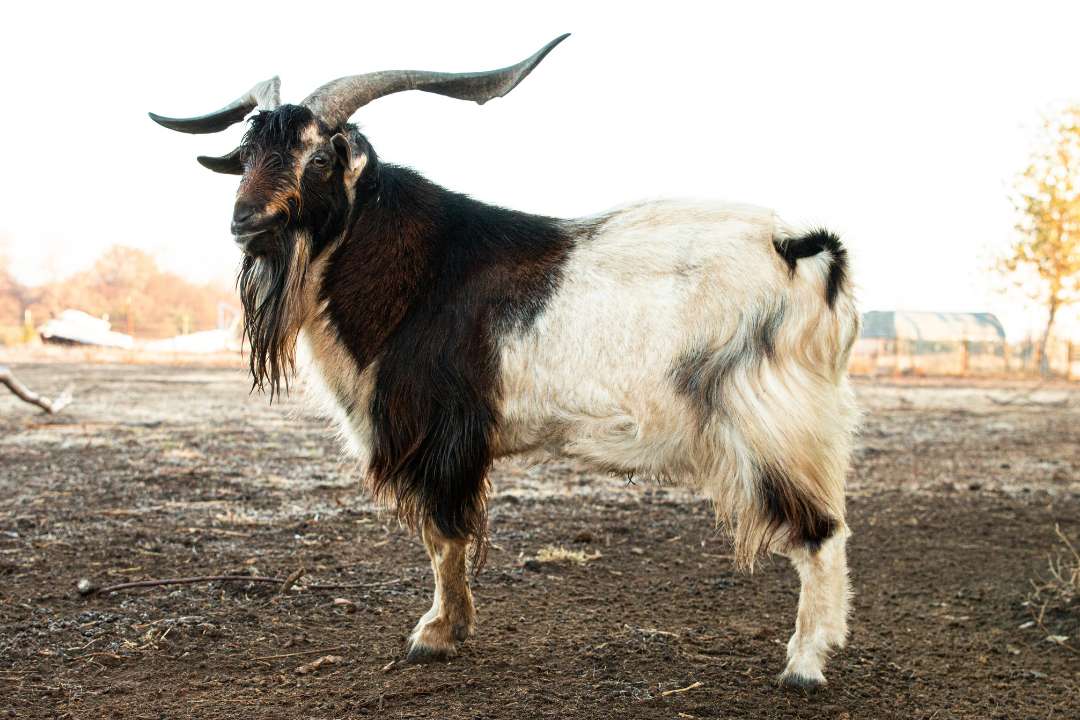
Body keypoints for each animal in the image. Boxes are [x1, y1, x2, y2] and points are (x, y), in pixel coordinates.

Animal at [150, 35, 859, 688]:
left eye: (319, 156)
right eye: (246, 154)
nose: (245, 221)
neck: (420, 272)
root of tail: (800, 248)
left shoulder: (443, 432)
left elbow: (444, 535)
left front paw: (436, 634)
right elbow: (442, 537)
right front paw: (451, 627)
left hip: (771, 422)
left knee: (822, 533)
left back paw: (803, 665)